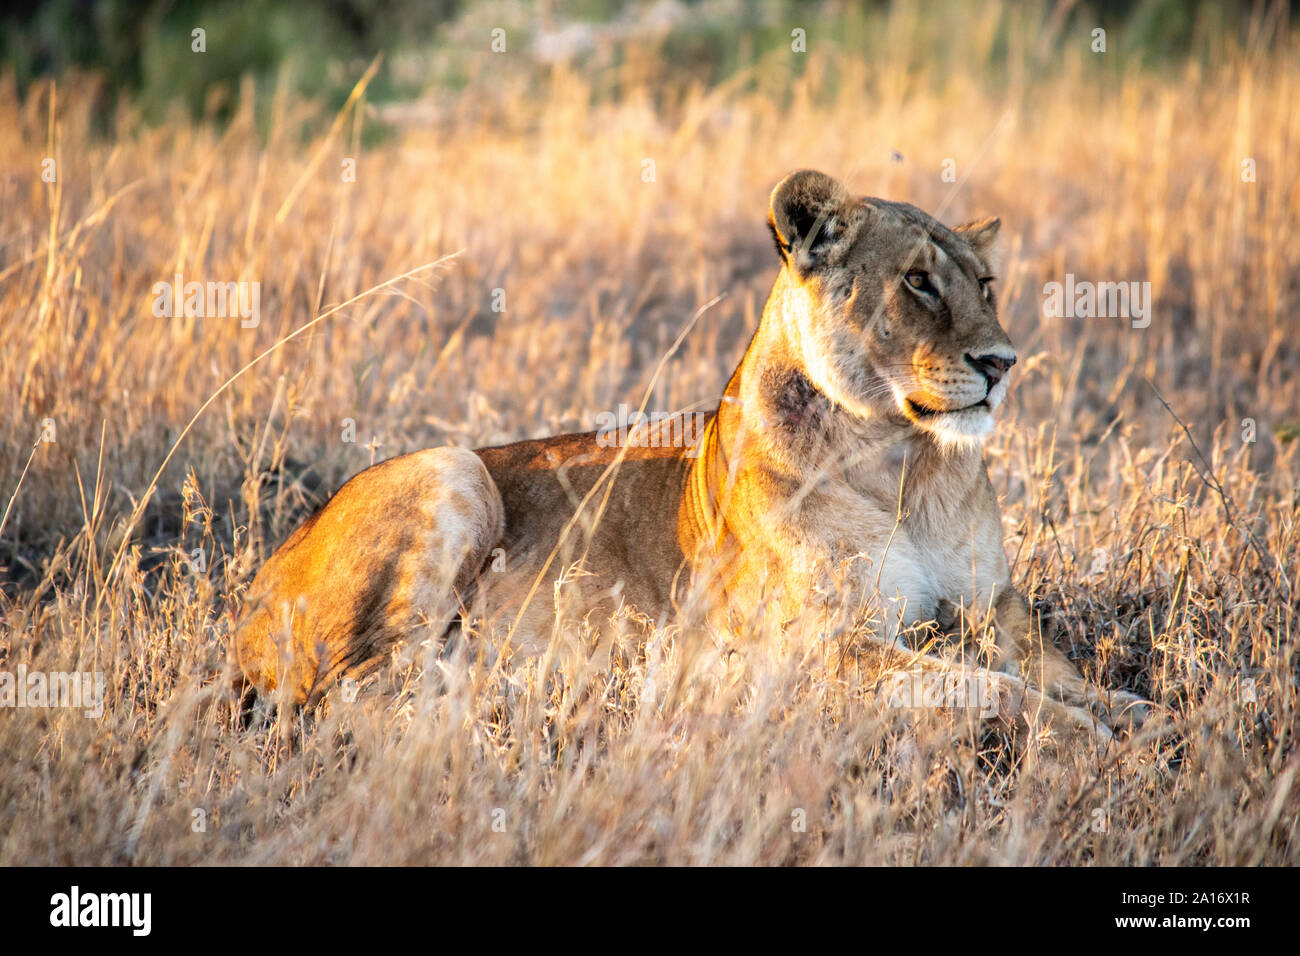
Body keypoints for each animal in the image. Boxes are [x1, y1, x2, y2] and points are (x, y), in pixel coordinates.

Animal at [233, 169, 1148, 742]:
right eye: (917, 282)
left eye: (984, 285)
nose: (1003, 363)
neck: (904, 461)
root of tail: (257, 583)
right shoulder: (816, 647)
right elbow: (998, 688)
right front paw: (1093, 738)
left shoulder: (994, 610)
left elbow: (1057, 671)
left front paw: (1144, 714)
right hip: (449, 467)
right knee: (357, 692)